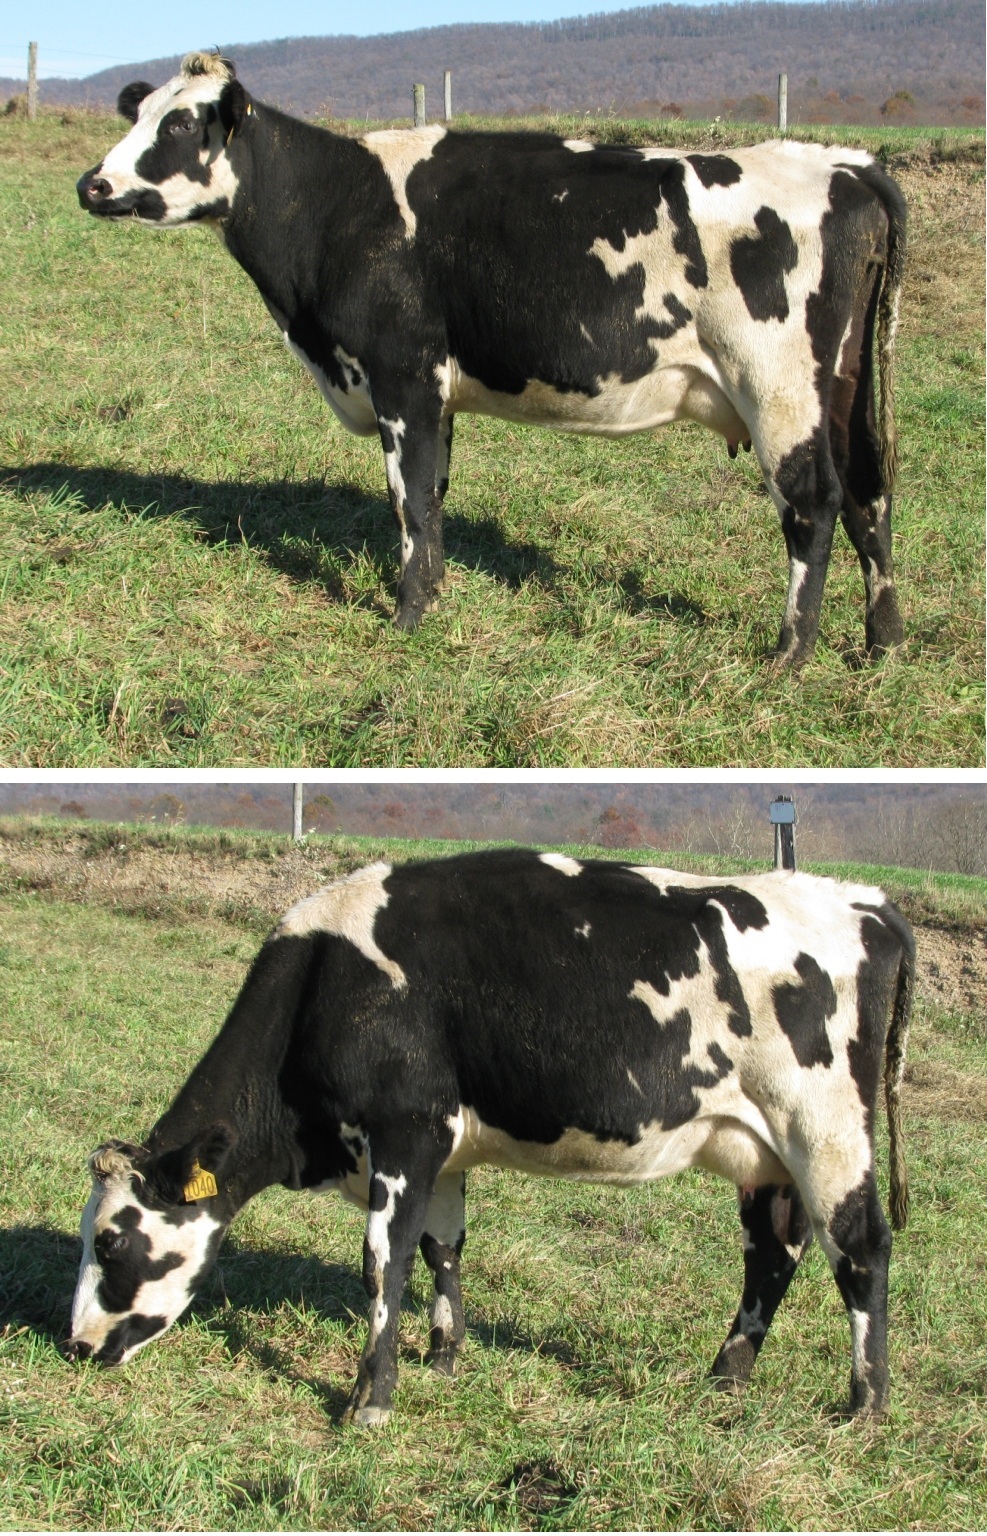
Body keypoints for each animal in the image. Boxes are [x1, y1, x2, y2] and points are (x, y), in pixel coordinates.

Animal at [67, 848, 914, 1426]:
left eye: (110, 1240)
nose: (72, 1345)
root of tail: (864, 901)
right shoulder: (441, 1149)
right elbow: (441, 1247)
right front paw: (443, 1357)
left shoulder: (403, 1130)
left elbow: (383, 1264)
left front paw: (368, 1400)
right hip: (762, 1147)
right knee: (774, 1249)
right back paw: (723, 1380)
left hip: (825, 1127)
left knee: (858, 1246)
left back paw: (864, 1407)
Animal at [76, 53, 907, 667]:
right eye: (137, 114)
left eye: (183, 122)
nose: (94, 183)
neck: (334, 204)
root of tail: (843, 164)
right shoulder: (435, 391)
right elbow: (435, 495)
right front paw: (435, 594)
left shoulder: (402, 375)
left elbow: (409, 499)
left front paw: (406, 618)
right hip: (841, 386)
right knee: (870, 492)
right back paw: (880, 644)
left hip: (776, 387)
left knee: (813, 502)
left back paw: (788, 657)